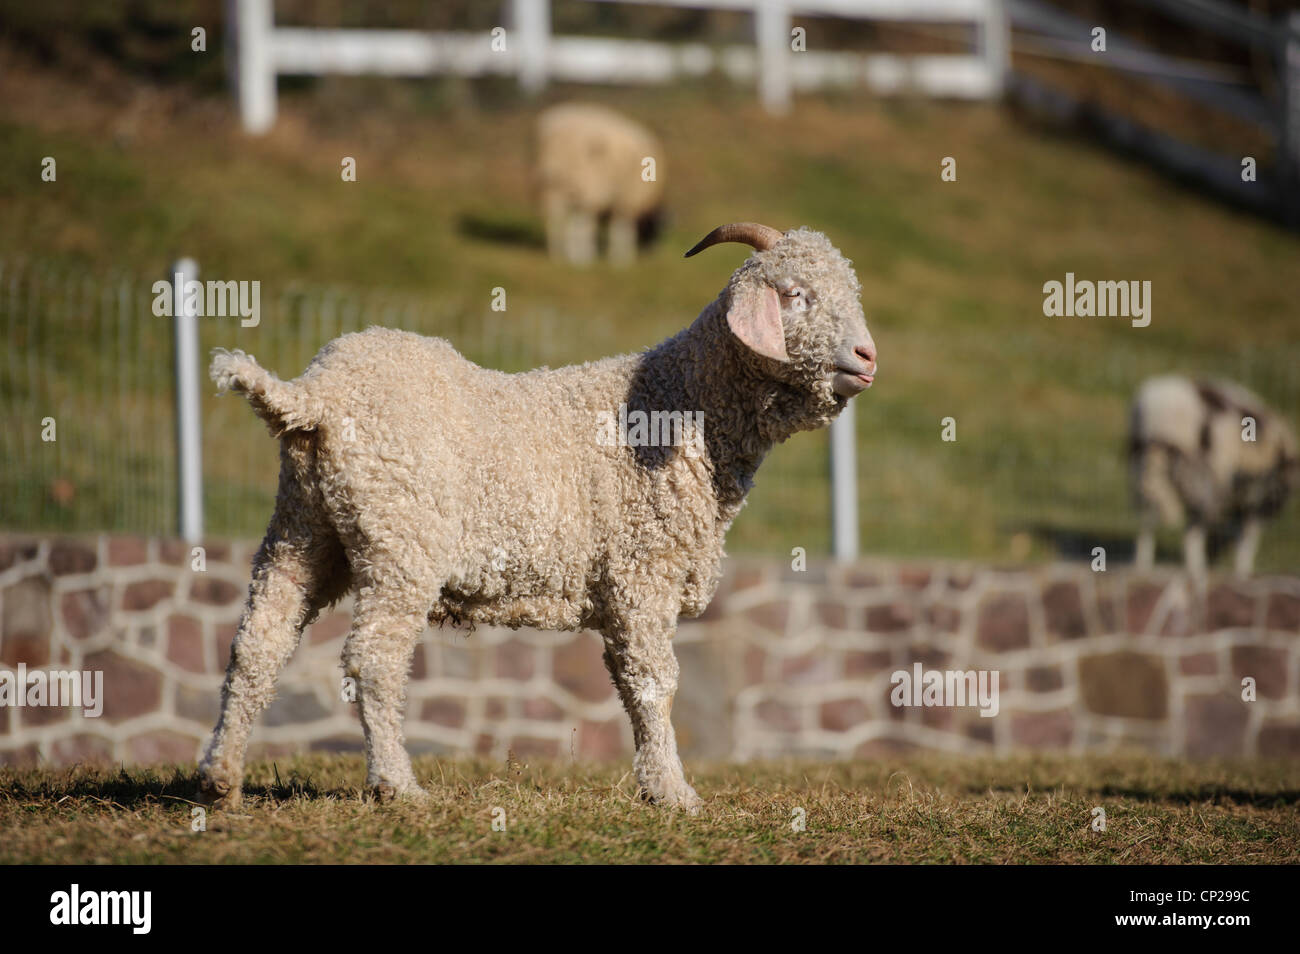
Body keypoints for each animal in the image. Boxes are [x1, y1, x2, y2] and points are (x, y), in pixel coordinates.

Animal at [198, 222, 877, 812]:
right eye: (794, 293)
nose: (867, 357)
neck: (682, 403)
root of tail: (314, 396)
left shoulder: (620, 591)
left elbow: (628, 684)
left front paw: (653, 785)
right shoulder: (642, 573)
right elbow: (655, 683)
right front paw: (675, 794)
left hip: (302, 528)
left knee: (256, 643)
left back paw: (220, 781)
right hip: (401, 544)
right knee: (375, 658)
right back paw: (397, 786)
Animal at [537, 103, 665, 266]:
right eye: (655, 230)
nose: (652, 251)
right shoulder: (627, 199)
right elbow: (621, 230)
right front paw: (621, 259)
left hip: (554, 185)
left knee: (557, 219)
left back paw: (558, 254)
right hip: (588, 185)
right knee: (583, 221)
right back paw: (582, 257)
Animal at [1130, 374, 1297, 582]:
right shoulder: (1254, 498)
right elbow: (1246, 537)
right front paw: (1242, 572)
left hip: (1146, 470)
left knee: (1148, 518)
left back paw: (1144, 567)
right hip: (1199, 477)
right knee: (1193, 528)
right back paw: (1195, 569)